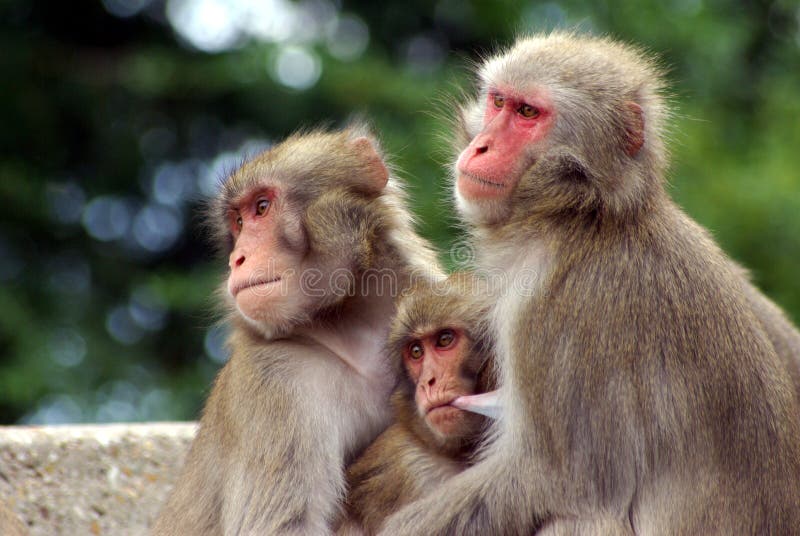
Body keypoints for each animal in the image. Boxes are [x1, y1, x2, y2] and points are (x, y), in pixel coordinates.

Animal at [378, 33, 800, 535]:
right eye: (498, 102)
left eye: (528, 113)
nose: (480, 147)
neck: (582, 218)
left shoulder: (558, 307)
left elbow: (554, 476)